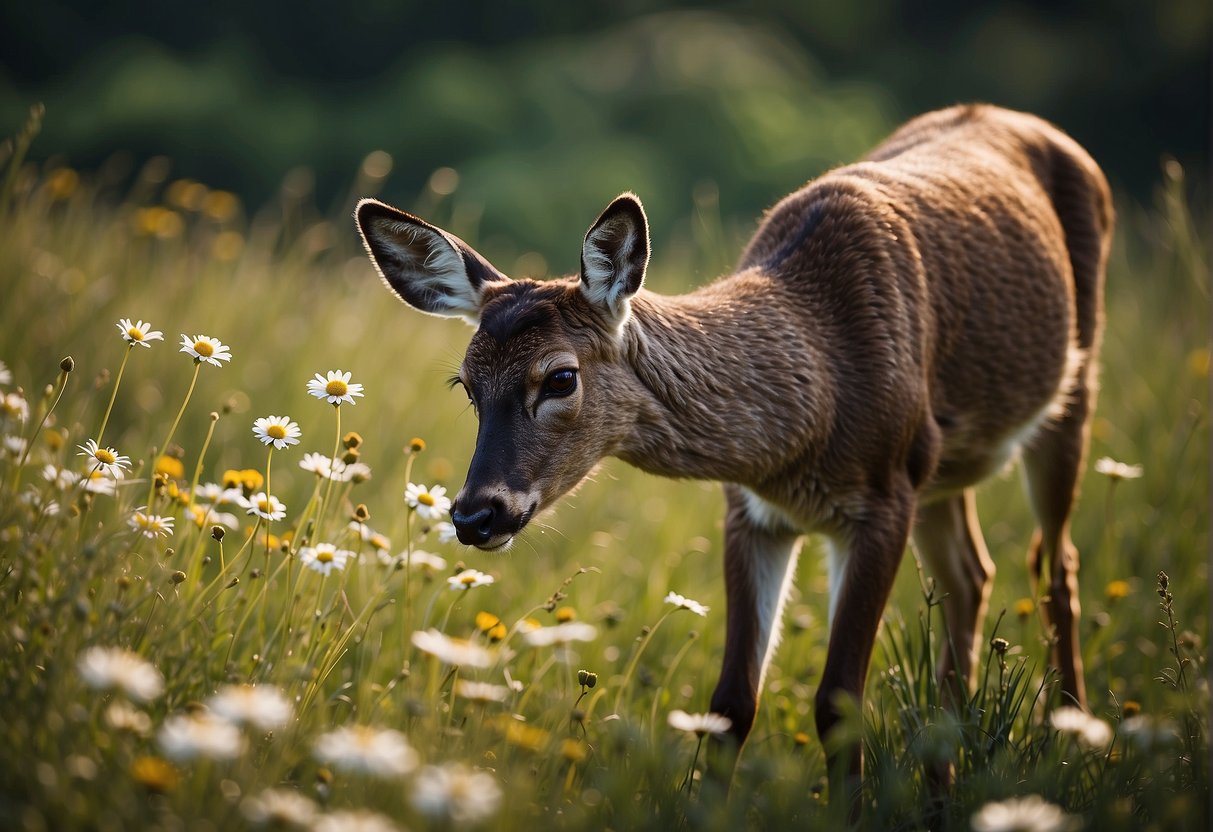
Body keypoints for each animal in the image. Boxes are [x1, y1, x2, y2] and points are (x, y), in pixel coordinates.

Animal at [354, 103, 1114, 807]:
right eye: (466, 384)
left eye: (560, 377)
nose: (475, 515)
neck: (816, 392)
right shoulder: (751, 511)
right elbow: (729, 705)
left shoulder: (882, 495)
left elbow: (837, 702)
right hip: (941, 466)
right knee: (973, 573)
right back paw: (942, 782)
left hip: (1066, 393)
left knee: (1057, 564)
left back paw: (1075, 743)